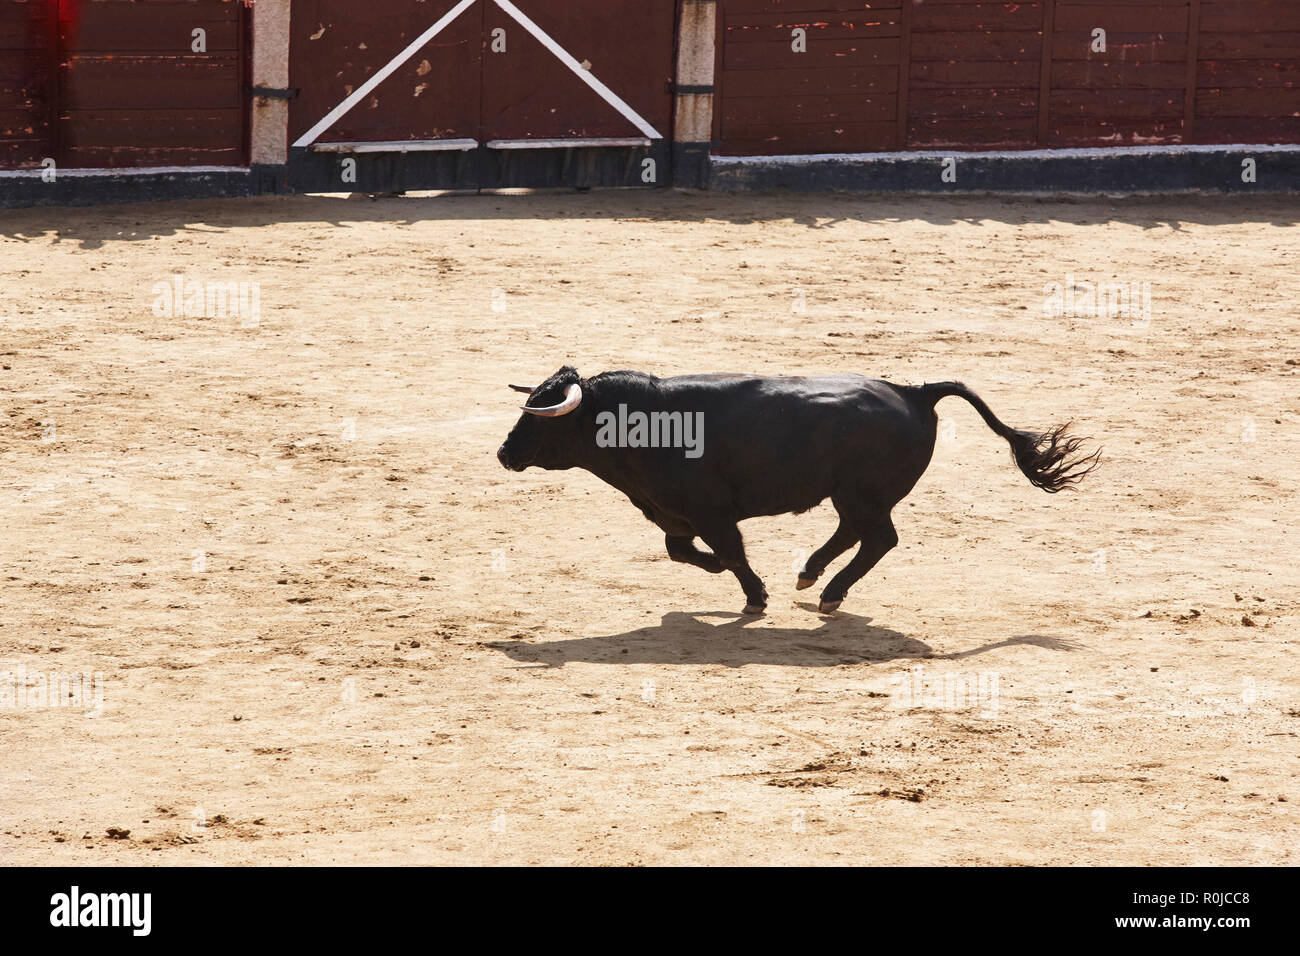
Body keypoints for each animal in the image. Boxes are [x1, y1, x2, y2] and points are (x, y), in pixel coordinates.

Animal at [497, 366, 1099, 616]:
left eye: (541, 419)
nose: (504, 454)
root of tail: (915, 392)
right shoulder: (675, 514)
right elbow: (682, 551)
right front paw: (735, 580)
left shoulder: (711, 512)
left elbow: (730, 552)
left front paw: (755, 595)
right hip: (850, 494)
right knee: (855, 533)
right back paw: (810, 574)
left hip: (863, 493)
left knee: (879, 539)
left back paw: (830, 591)